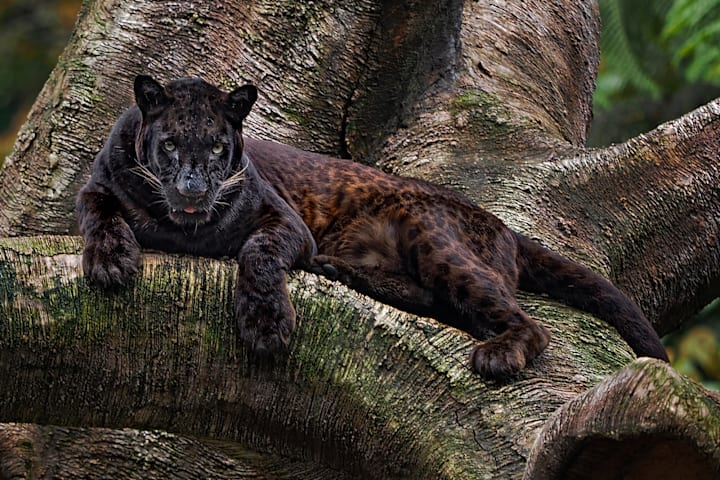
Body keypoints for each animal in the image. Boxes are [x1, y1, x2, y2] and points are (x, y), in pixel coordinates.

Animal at [77, 75, 668, 380]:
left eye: (219, 147)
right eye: (172, 143)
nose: (194, 188)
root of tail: (504, 226)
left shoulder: (283, 222)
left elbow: (258, 254)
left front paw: (265, 325)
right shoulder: (96, 186)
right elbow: (100, 213)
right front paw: (109, 262)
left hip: (433, 236)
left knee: (519, 319)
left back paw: (498, 355)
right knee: (433, 299)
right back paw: (340, 269)